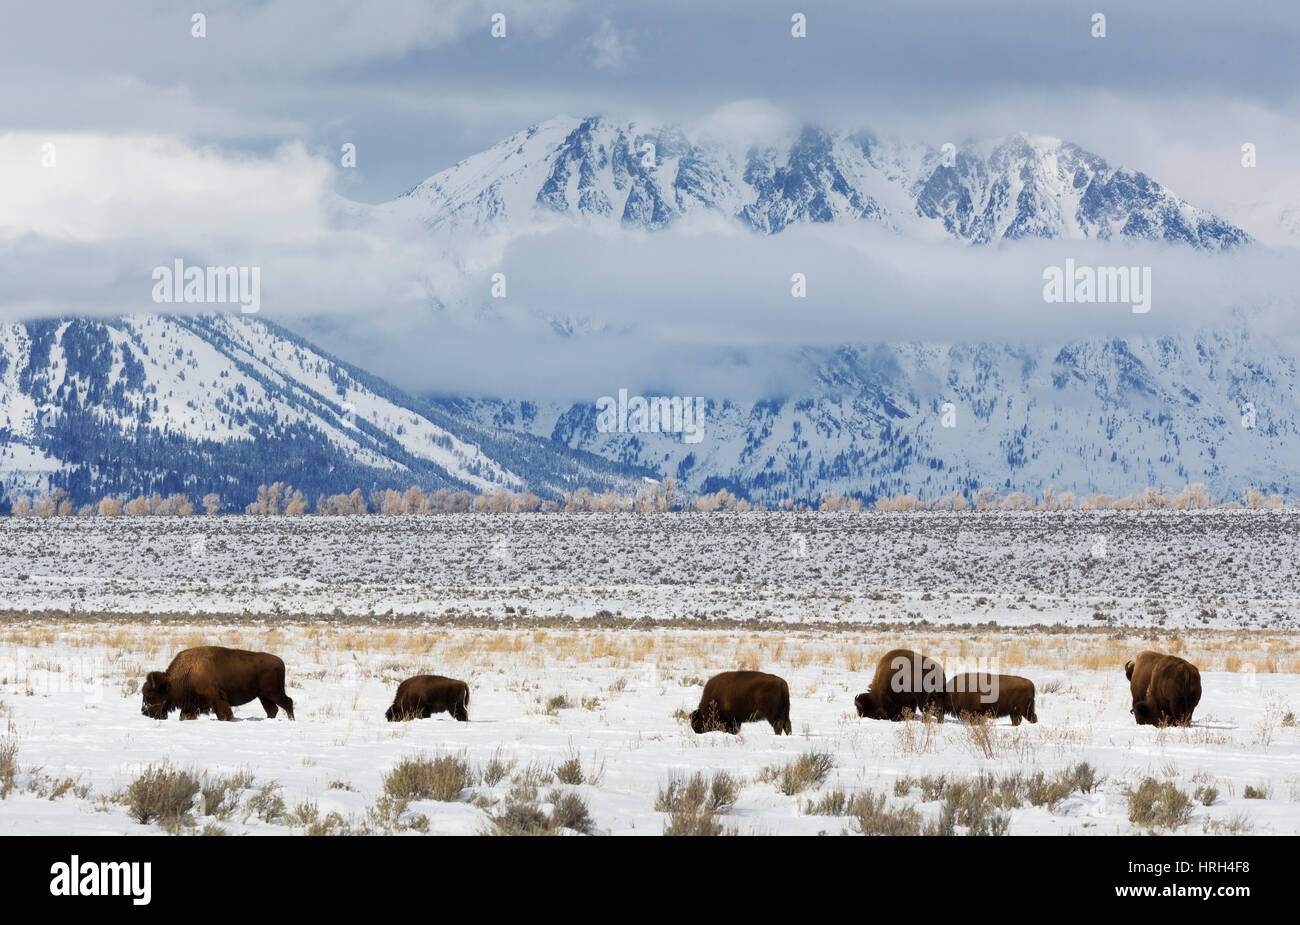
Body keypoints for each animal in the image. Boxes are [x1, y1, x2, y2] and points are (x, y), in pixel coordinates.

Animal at [141, 646, 294, 721]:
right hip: (264, 696)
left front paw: (227, 719)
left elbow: (223, 712)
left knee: (287, 703)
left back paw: (291, 720)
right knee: (272, 709)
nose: (144, 712)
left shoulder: (215, 697)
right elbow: (185, 715)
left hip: (274, 692)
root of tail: (280, 661)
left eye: (150, 695)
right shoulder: (190, 703)